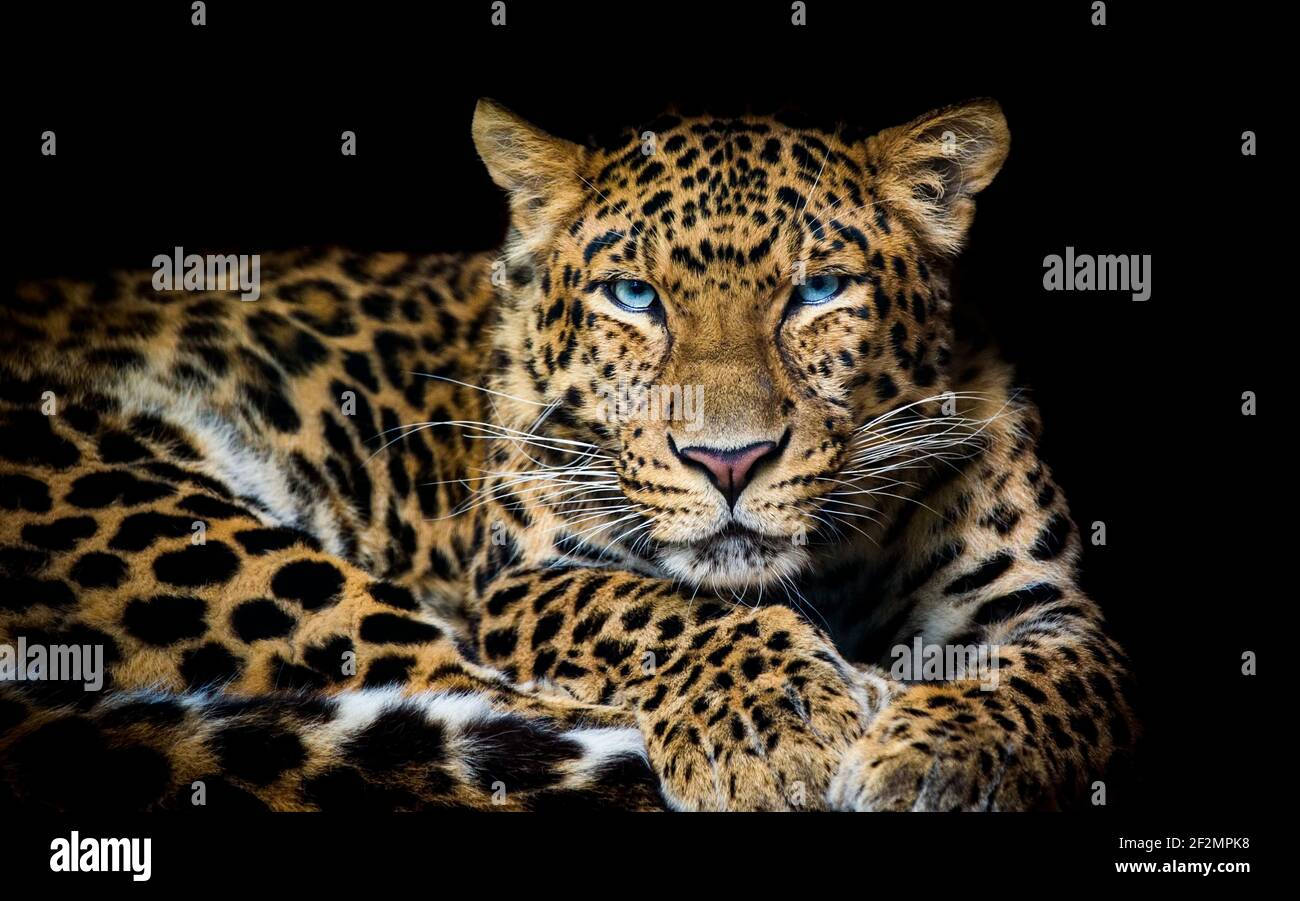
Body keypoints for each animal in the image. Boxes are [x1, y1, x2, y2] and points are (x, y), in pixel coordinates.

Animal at [0, 97, 1137, 812]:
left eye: (819, 290)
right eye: (632, 296)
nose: (730, 462)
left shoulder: (1042, 606)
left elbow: (1061, 679)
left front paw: (946, 754)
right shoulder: (530, 578)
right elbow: (659, 609)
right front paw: (775, 724)